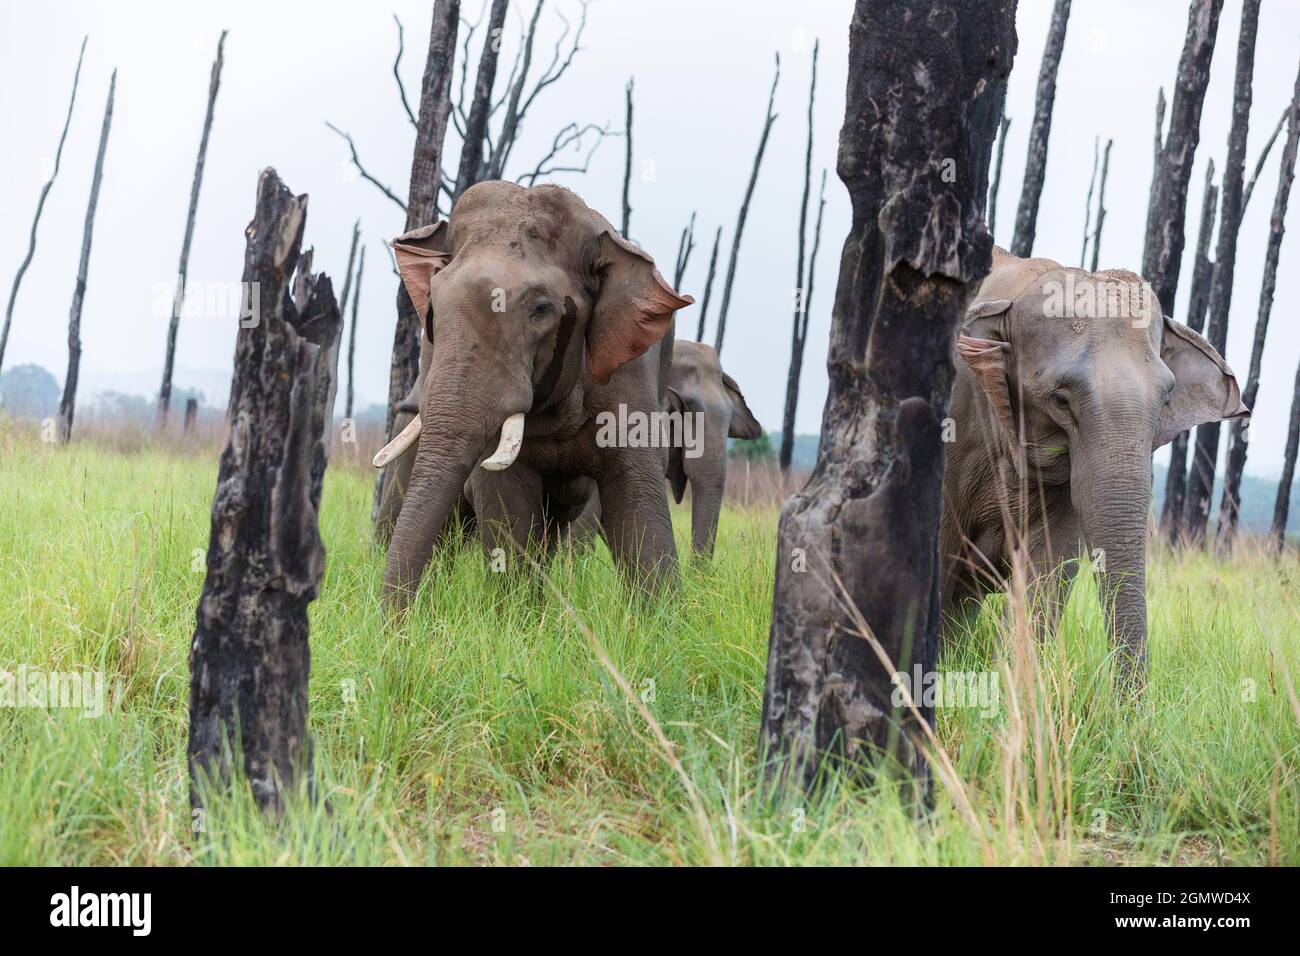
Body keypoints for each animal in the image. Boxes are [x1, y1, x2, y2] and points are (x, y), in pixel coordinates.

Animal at [374, 181, 694, 609]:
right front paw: (516, 615)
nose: (393, 623)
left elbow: (638, 499)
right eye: (432, 311)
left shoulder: (631, 374)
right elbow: (508, 505)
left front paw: (662, 618)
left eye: (542, 309)